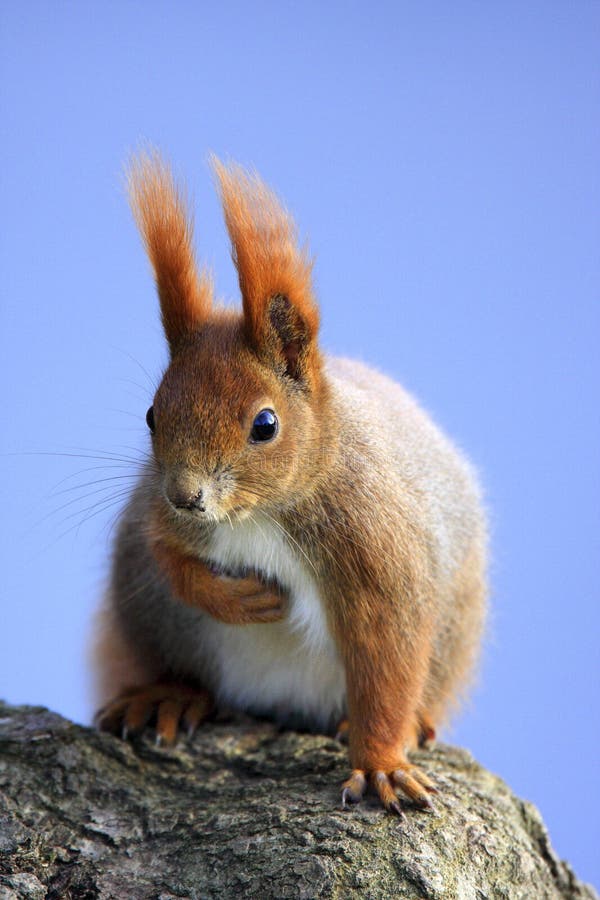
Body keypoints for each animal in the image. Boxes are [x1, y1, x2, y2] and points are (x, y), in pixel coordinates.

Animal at [93, 151, 487, 815]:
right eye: (152, 414)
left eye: (265, 424)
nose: (186, 496)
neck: (257, 514)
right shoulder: (159, 520)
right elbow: (171, 557)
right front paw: (240, 599)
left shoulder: (376, 546)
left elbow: (388, 650)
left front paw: (383, 762)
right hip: (146, 607)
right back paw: (169, 695)